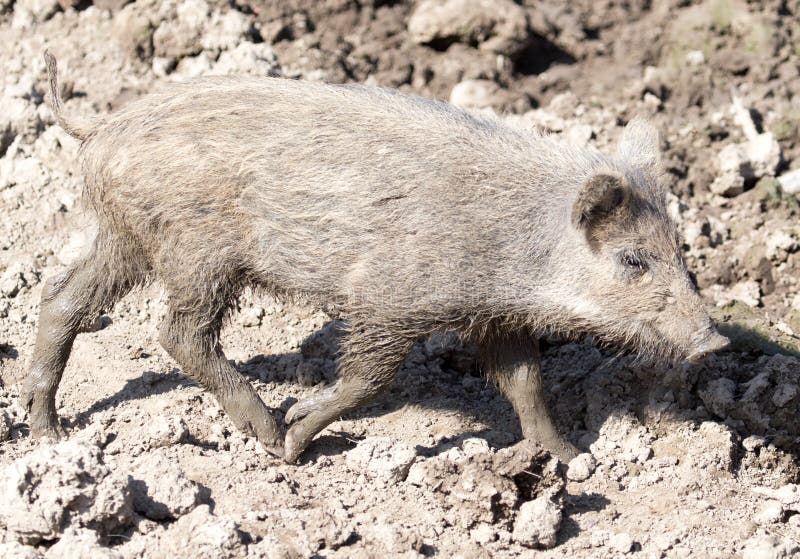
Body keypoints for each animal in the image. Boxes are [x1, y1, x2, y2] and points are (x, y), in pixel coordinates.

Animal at [23, 51, 728, 463]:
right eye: (633, 260)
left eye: (681, 252)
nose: (714, 342)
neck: (518, 242)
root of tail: (103, 126)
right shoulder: (386, 302)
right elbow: (368, 379)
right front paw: (297, 440)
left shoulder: (495, 316)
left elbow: (526, 383)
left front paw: (571, 459)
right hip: (199, 251)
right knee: (175, 331)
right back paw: (266, 432)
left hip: (128, 238)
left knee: (61, 298)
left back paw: (50, 436)